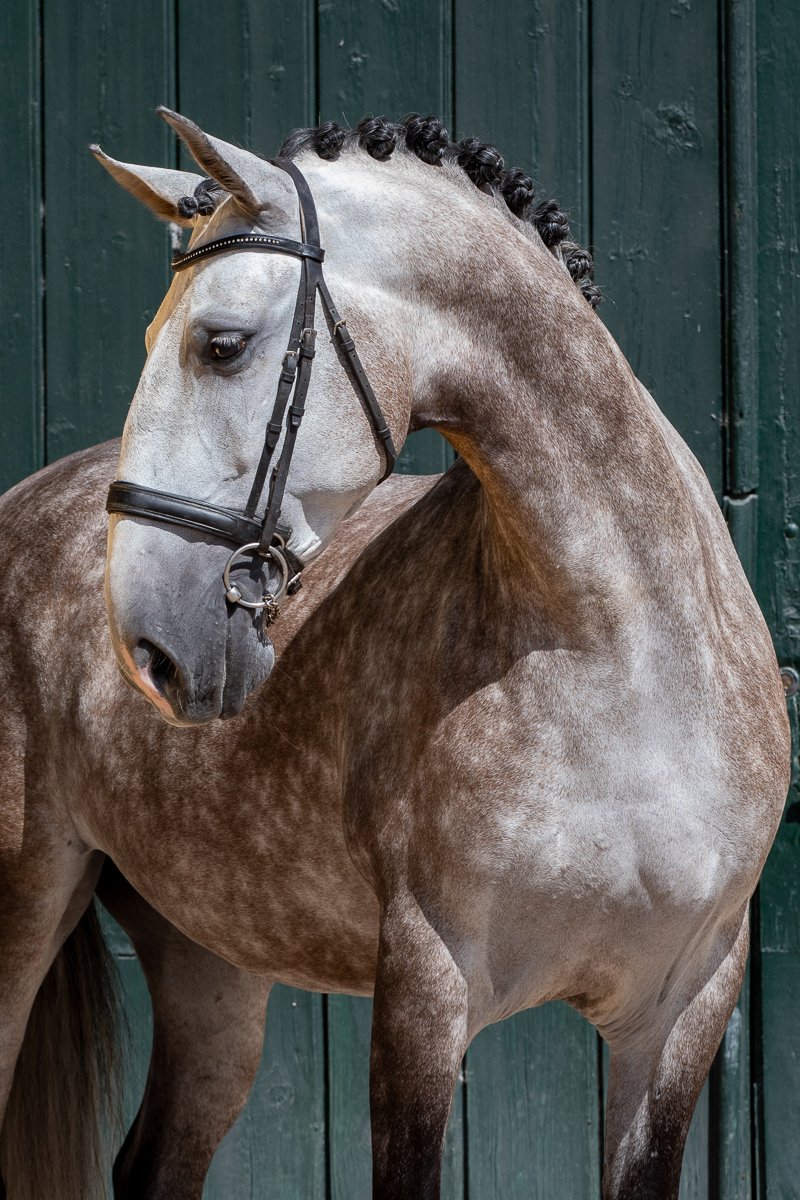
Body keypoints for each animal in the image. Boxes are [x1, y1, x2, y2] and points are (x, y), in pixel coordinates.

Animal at [0, 106, 789, 1200]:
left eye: (221, 344)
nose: (149, 646)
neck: (621, 661)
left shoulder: (681, 1008)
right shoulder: (423, 988)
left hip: (212, 956)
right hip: (25, 910)